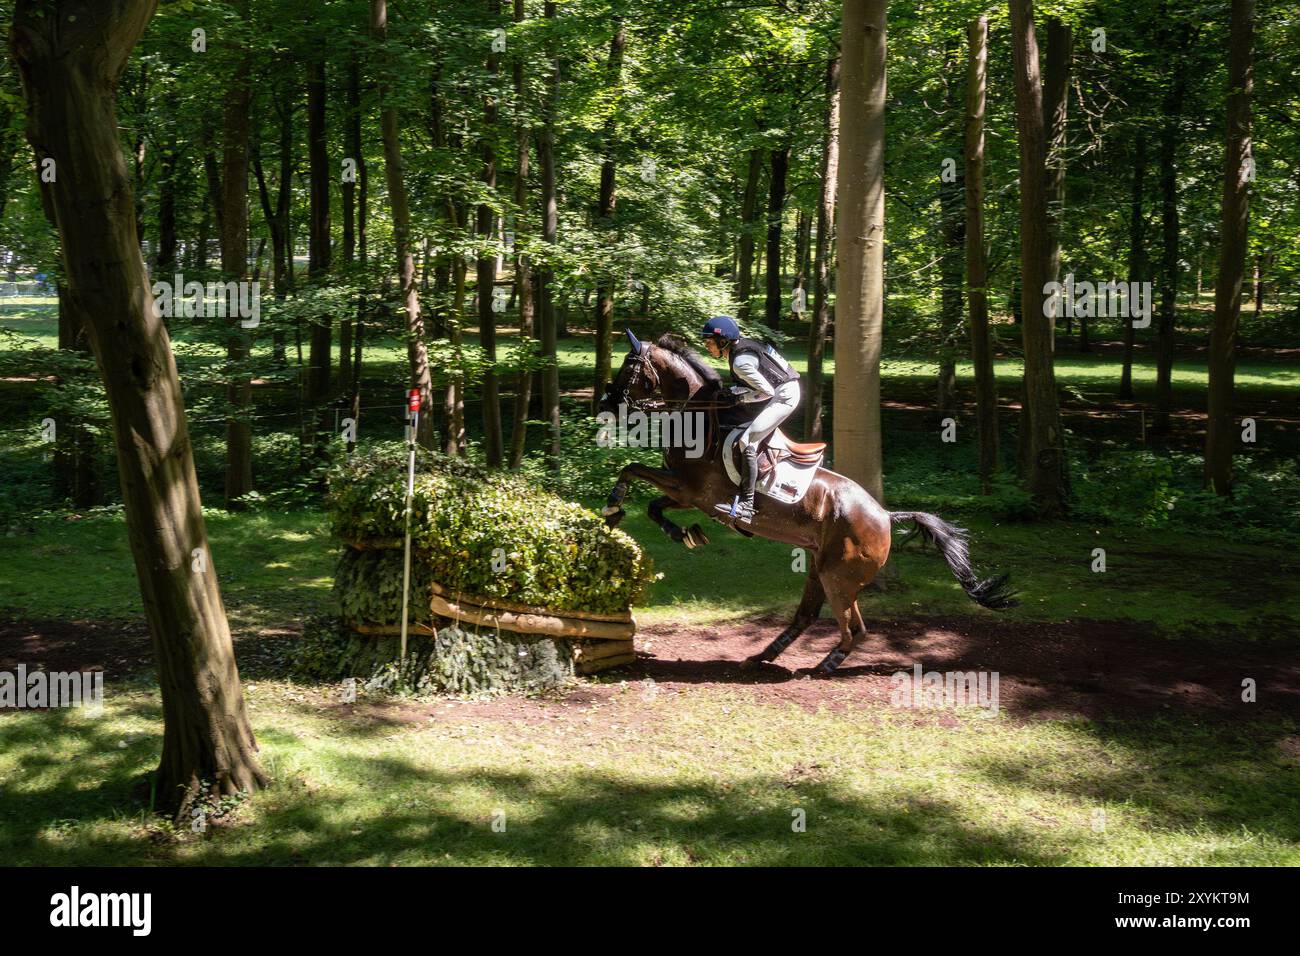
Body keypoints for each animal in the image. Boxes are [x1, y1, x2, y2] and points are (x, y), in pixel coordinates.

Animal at [597, 330, 1016, 677]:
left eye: (629, 366)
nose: (605, 404)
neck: (698, 418)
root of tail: (885, 514)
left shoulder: (691, 489)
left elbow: (632, 471)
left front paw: (615, 509)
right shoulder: (688, 495)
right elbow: (650, 501)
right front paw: (674, 531)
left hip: (839, 576)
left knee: (854, 628)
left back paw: (824, 665)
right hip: (819, 566)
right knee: (807, 616)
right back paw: (761, 657)